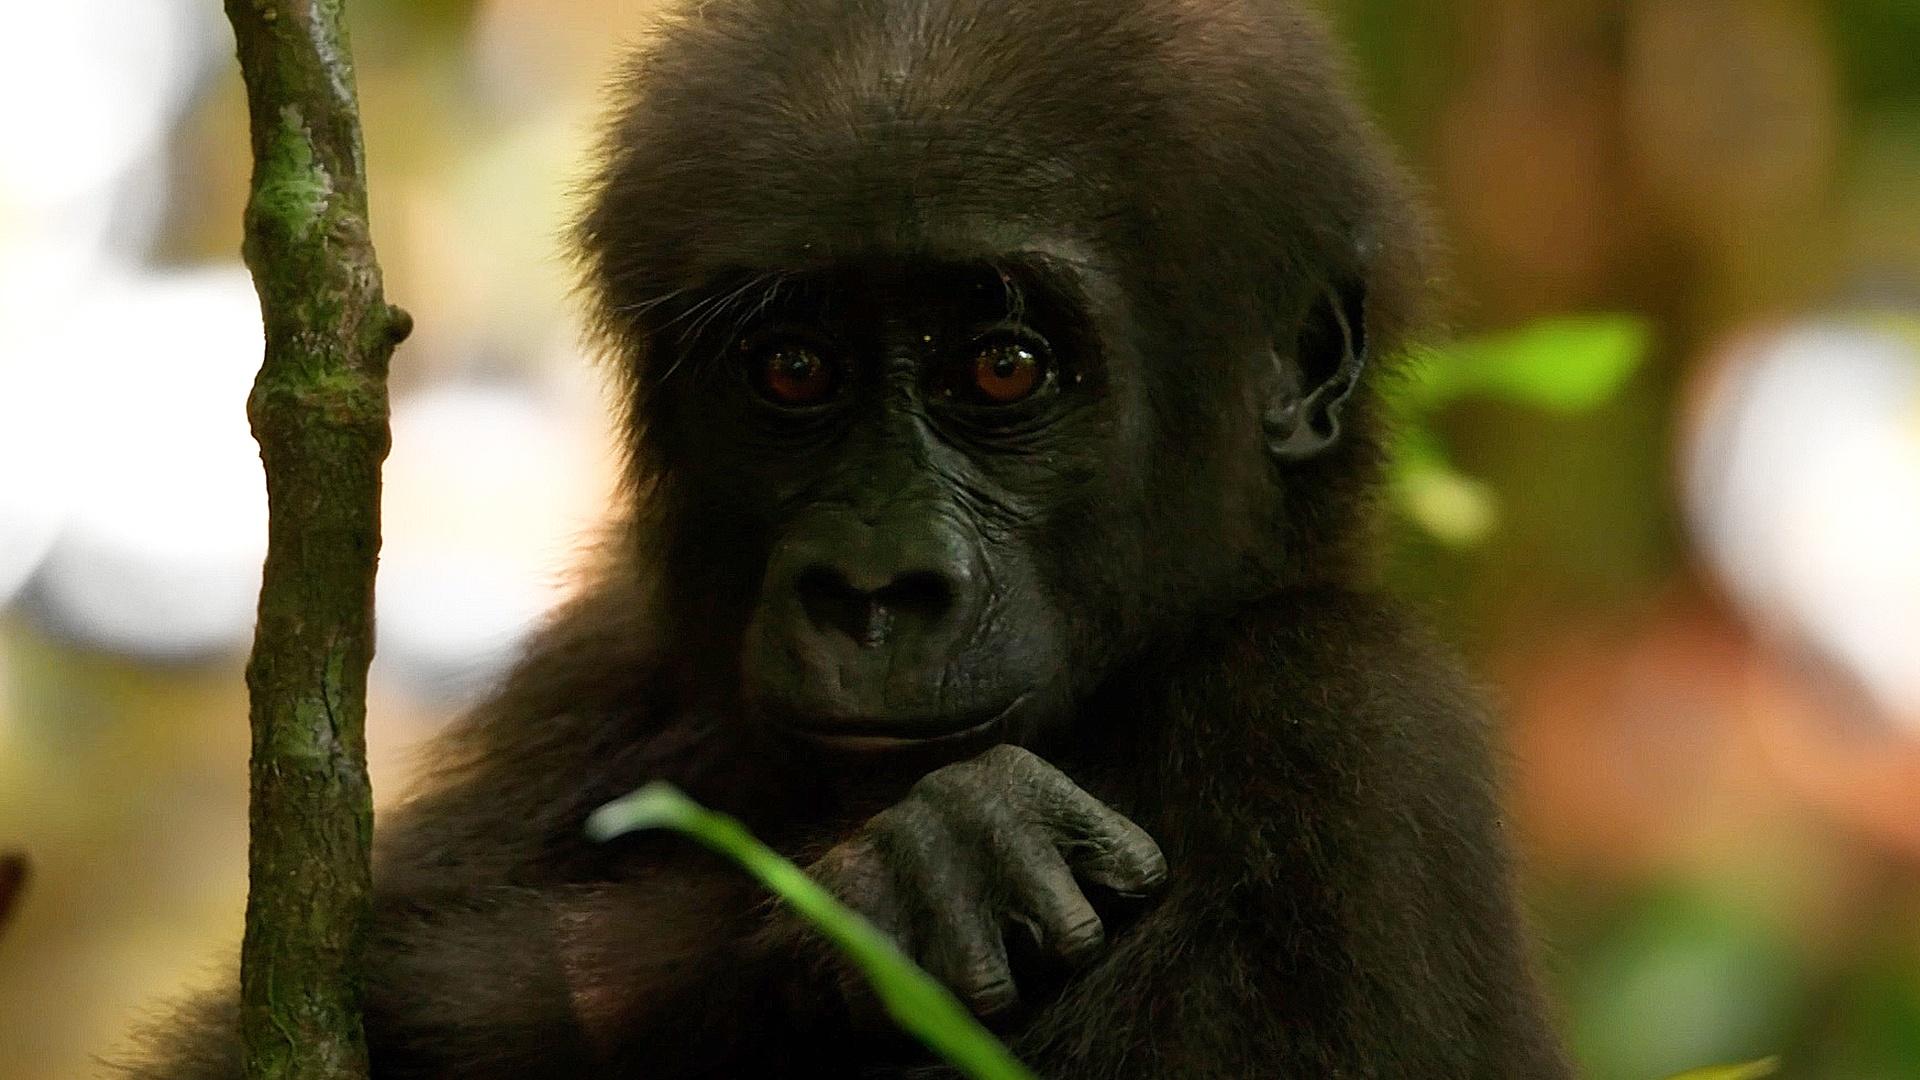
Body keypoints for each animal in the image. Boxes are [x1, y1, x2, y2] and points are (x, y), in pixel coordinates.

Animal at [131, 0, 1572, 1076]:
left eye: (1003, 368)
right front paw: (873, 905)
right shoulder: (601, 667)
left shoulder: (1347, 725)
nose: (875, 586)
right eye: (793, 370)